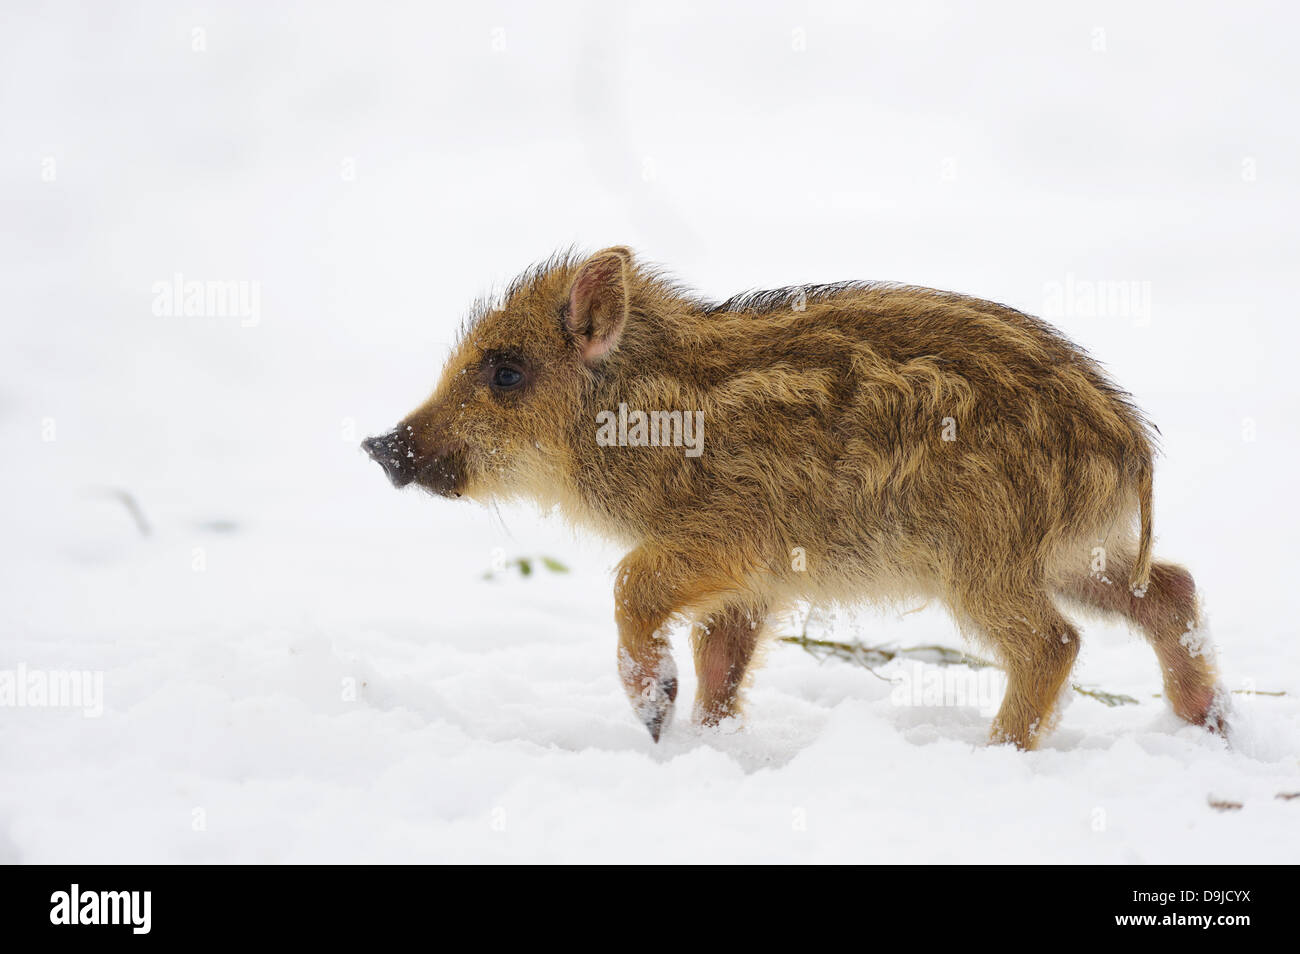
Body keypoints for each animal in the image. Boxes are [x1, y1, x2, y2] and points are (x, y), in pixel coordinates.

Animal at [363, 246, 1225, 749]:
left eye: (507, 371)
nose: (381, 447)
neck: (643, 416)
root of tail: (1129, 443)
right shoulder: (755, 584)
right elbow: (721, 659)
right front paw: (707, 742)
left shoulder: (732, 538)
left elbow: (633, 584)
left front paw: (653, 715)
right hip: (1076, 554)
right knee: (1171, 589)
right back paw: (1209, 727)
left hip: (985, 560)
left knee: (1055, 642)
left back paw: (997, 750)